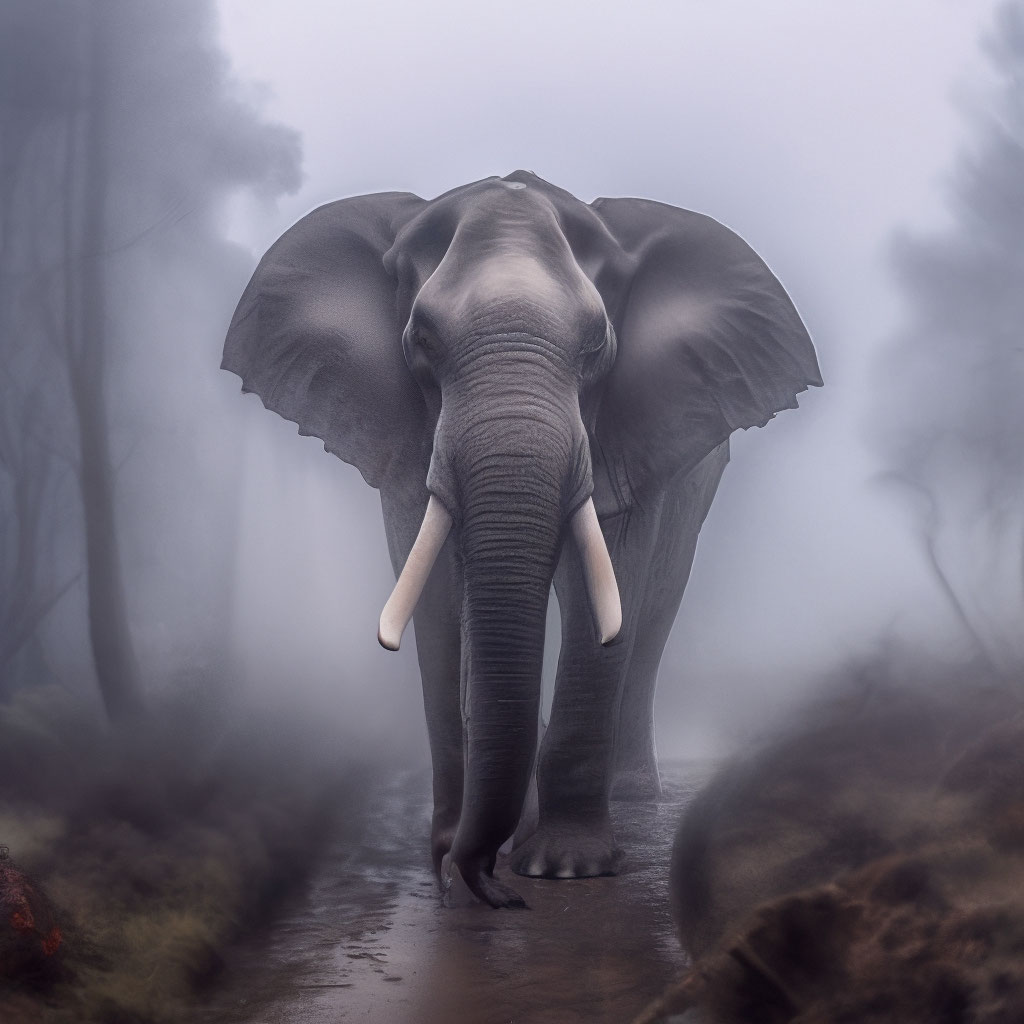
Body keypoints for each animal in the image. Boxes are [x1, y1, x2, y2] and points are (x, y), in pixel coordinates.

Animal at [222, 170, 821, 909]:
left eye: (597, 344)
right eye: (420, 340)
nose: (488, 887)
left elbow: (613, 581)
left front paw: (567, 867)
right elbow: (440, 599)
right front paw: (469, 851)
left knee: (655, 604)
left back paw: (629, 795)